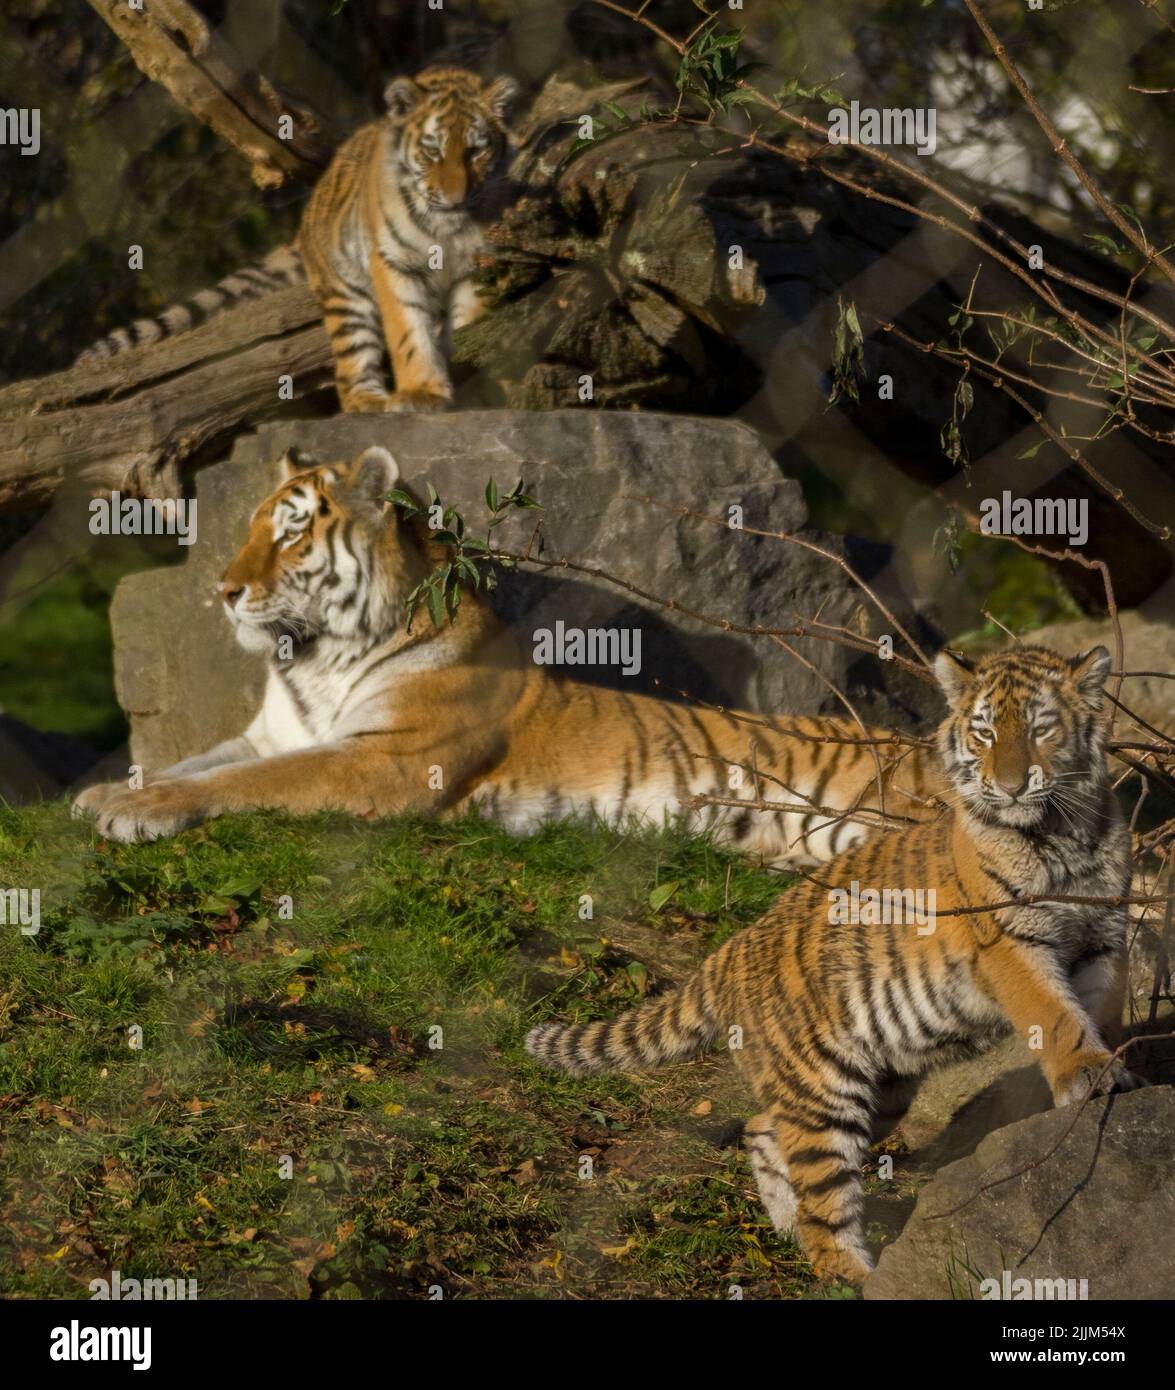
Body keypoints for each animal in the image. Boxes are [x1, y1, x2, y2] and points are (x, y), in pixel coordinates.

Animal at [72, 442, 941, 854]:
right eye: (252, 526)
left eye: (288, 533)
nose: (223, 590)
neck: (313, 659)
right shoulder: (265, 734)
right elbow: (195, 760)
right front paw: (108, 789)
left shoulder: (383, 758)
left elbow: (249, 781)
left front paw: (133, 810)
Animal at [76, 67, 518, 414]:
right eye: (432, 152)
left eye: (475, 151)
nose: (457, 198)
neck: (447, 227)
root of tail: (305, 221)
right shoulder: (394, 263)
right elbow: (410, 331)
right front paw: (422, 392)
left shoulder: (476, 261)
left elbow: (468, 321)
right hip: (346, 296)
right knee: (350, 376)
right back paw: (371, 402)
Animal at [526, 642, 1145, 1284]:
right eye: (985, 733)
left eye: (1041, 729)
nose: (1010, 786)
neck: (1065, 834)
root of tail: (727, 953)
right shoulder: (1011, 944)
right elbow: (1055, 1015)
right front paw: (1088, 1075)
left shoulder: (1103, 938)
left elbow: (1098, 1010)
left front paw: (1119, 1066)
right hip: (824, 1089)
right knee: (823, 1197)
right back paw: (853, 1271)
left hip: (884, 1083)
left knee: (763, 1129)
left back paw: (786, 1226)